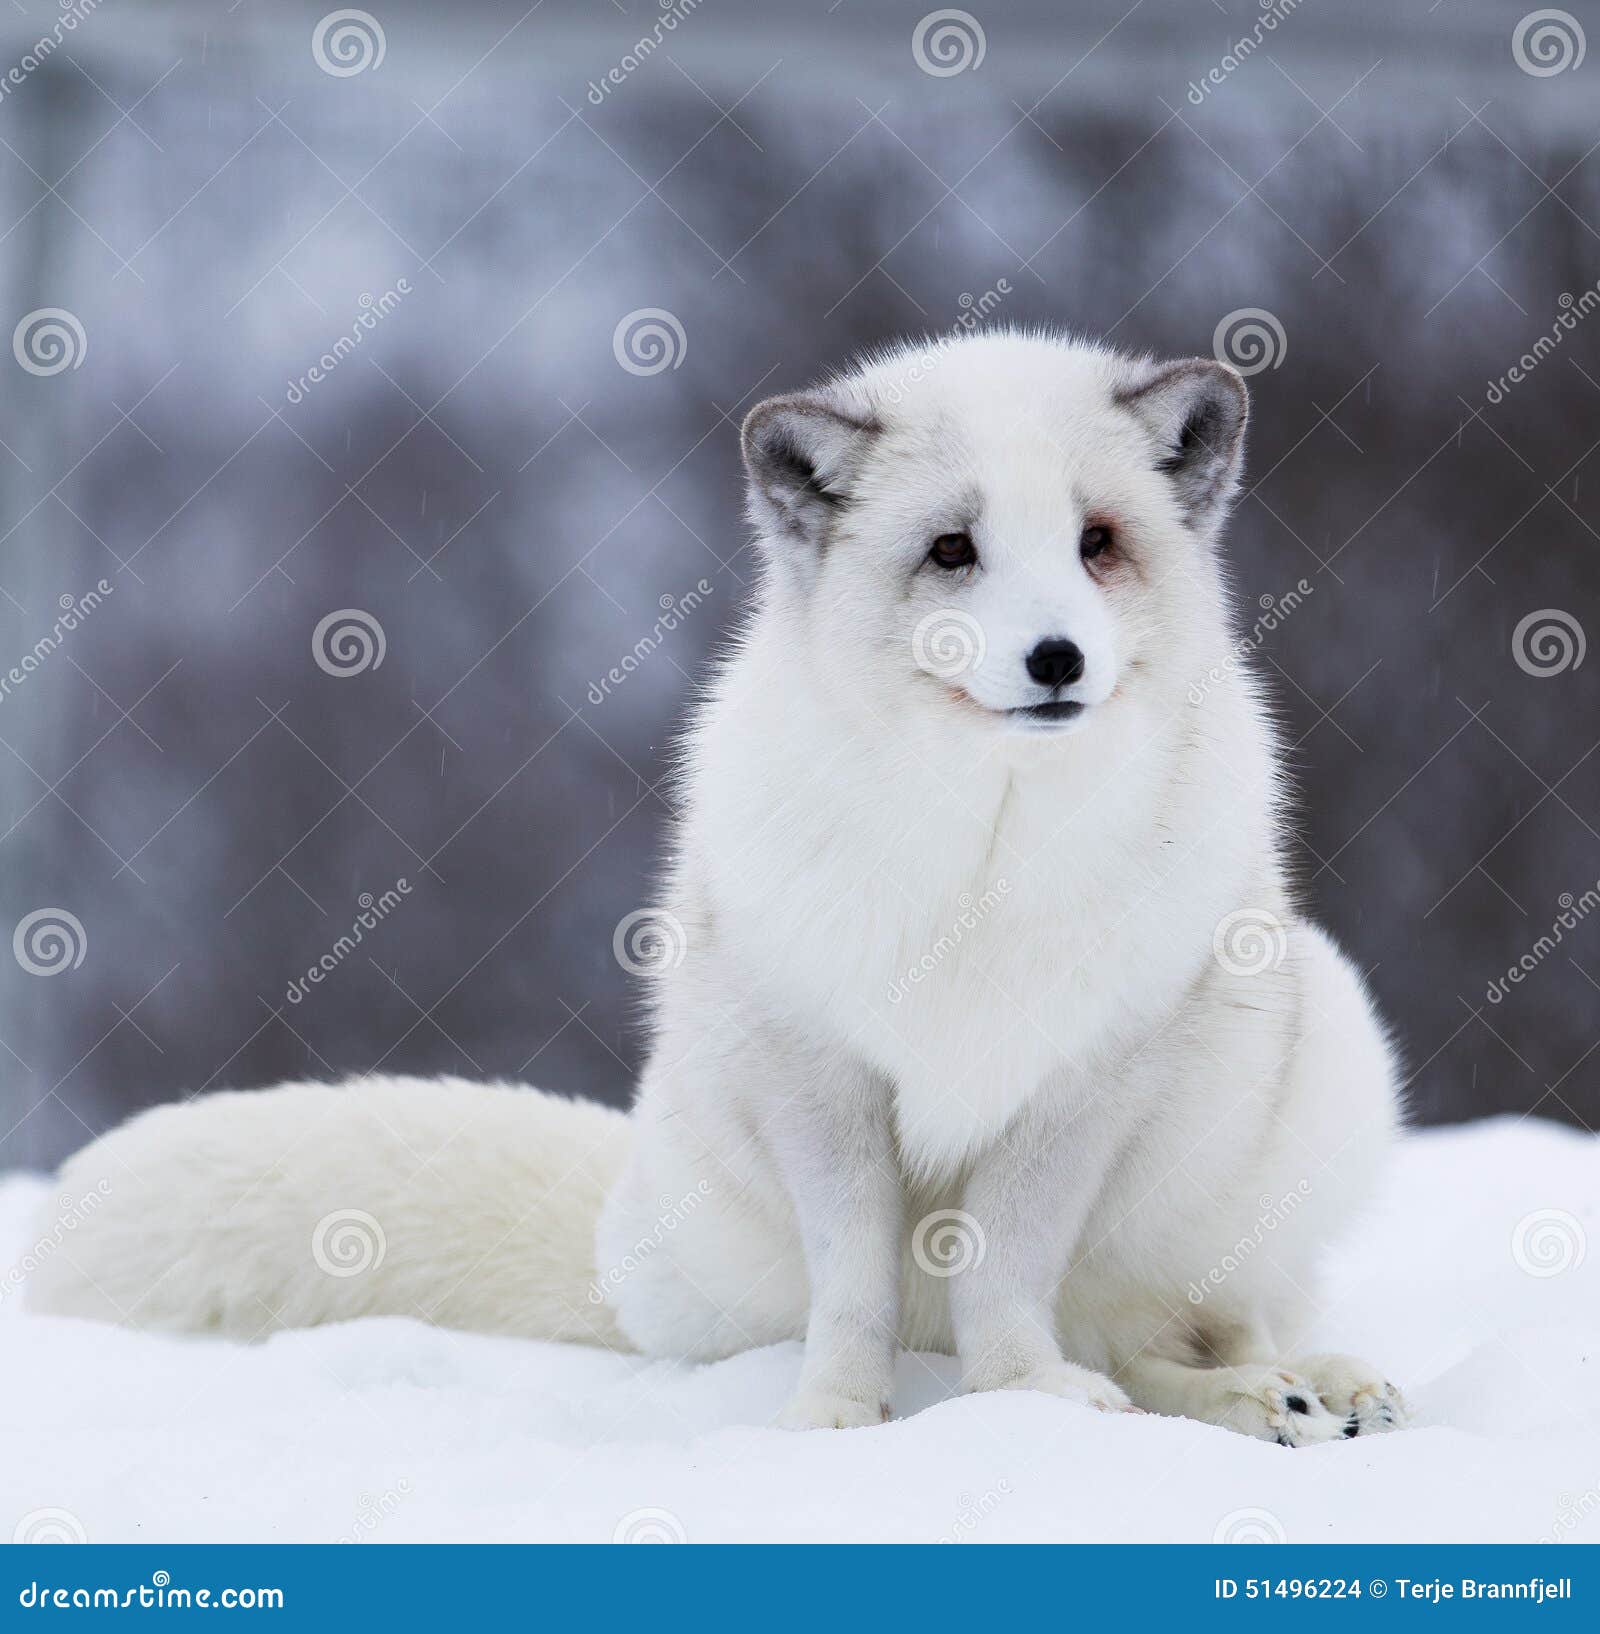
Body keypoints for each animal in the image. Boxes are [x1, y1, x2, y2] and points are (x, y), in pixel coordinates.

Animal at [28, 330, 1407, 1446]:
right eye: (952, 549)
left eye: (1097, 542)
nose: (1056, 658)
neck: (985, 854)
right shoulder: (814, 1069)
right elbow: (852, 1280)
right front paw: (834, 1420)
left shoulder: (1079, 1081)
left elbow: (1004, 1269)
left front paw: (1025, 1398)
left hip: (1313, 1043)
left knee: (1202, 1328)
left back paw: (1301, 1387)